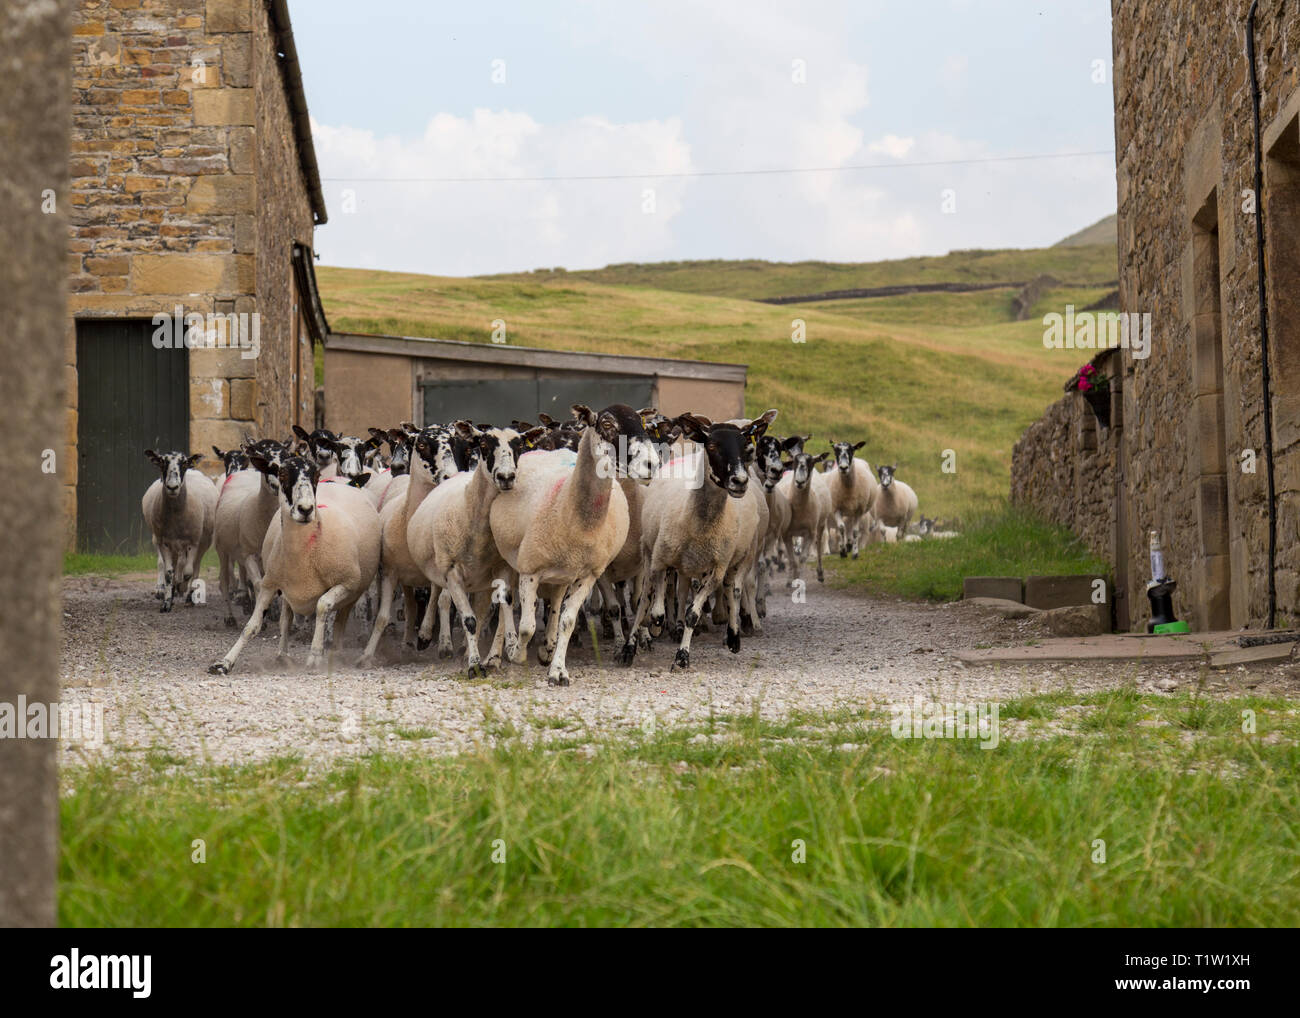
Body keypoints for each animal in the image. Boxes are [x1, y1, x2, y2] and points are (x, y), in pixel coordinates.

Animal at [142, 450, 217, 613]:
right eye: (162, 462)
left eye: (184, 464)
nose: (172, 487)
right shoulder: (164, 541)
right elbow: (168, 572)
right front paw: (167, 602)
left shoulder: (193, 542)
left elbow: (188, 571)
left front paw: (181, 587)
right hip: (162, 540)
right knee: (169, 564)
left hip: (203, 541)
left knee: (195, 567)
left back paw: (188, 595)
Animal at [209, 455, 380, 674]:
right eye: (281, 474)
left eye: (316, 475)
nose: (305, 509)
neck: (303, 554)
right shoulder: (270, 584)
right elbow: (252, 626)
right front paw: (225, 662)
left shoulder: (347, 583)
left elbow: (322, 606)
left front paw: (315, 656)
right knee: (286, 620)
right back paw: (282, 656)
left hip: (355, 590)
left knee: (340, 620)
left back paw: (335, 653)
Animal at [489, 404, 657, 686]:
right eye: (607, 424)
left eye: (642, 424)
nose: (652, 464)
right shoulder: (529, 569)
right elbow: (527, 626)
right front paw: (516, 653)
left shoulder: (588, 575)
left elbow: (567, 620)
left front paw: (557, 669)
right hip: (508, 558)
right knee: (506, 602)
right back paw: (497, 653)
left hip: (561, 574)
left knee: (555, 604)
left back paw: (547, 647)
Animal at [621, 413, 765, 670]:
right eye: (712, 446)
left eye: (745, 448)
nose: (739, 481)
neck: (700, 522)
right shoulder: (660, 560)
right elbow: (655, 609)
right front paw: (654, 628)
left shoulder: (716, 569)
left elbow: (692, 615)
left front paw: (682, 656)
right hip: (649, 551)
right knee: (645, 598)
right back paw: (631, 646)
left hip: (730, 560)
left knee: (731, 590)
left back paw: (732, 636)